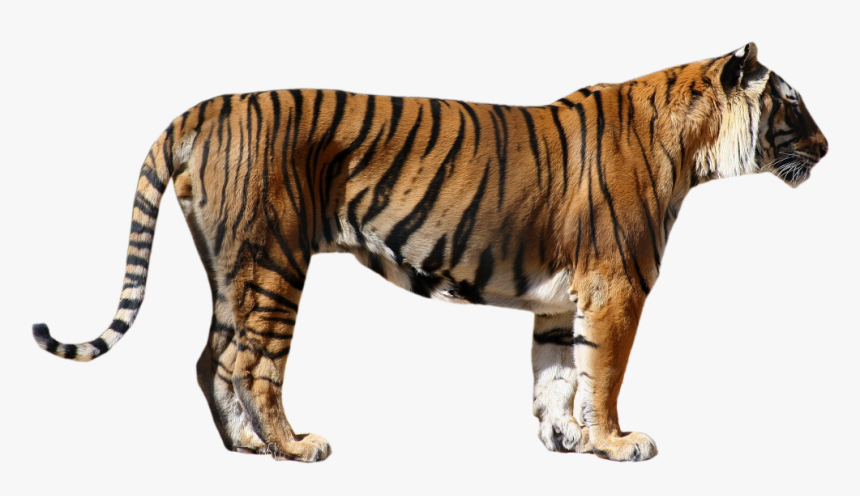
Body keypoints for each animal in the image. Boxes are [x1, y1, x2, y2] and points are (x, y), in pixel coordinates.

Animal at [32, 42, 827, 462]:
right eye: (792, 103)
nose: (826, 146)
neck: (695, 148)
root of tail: (203, 108)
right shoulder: (616, 288)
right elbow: (602, 375)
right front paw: (616, 442)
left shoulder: (561, 298)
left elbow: (555, 374)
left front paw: (564, 439)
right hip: (273, 263)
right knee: (252, 363)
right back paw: (295, 447)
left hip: (233, 268)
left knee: (211, 357)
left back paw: (247, 448)